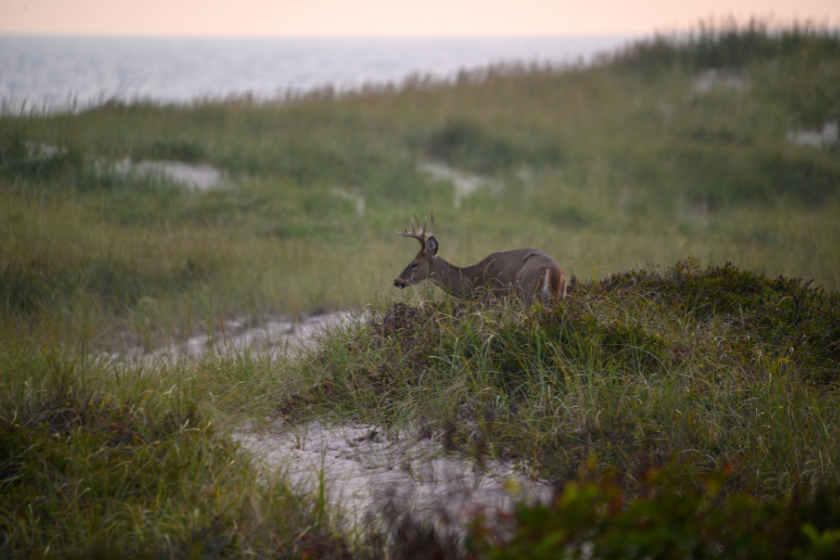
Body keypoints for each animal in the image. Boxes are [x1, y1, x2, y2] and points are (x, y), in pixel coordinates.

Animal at [393, 213, 566, 305]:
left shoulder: (491, 296)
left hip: (528, 295)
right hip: (560, 296)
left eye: (414, 264)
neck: (472, 279)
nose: (397, 281)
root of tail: (552, 270)